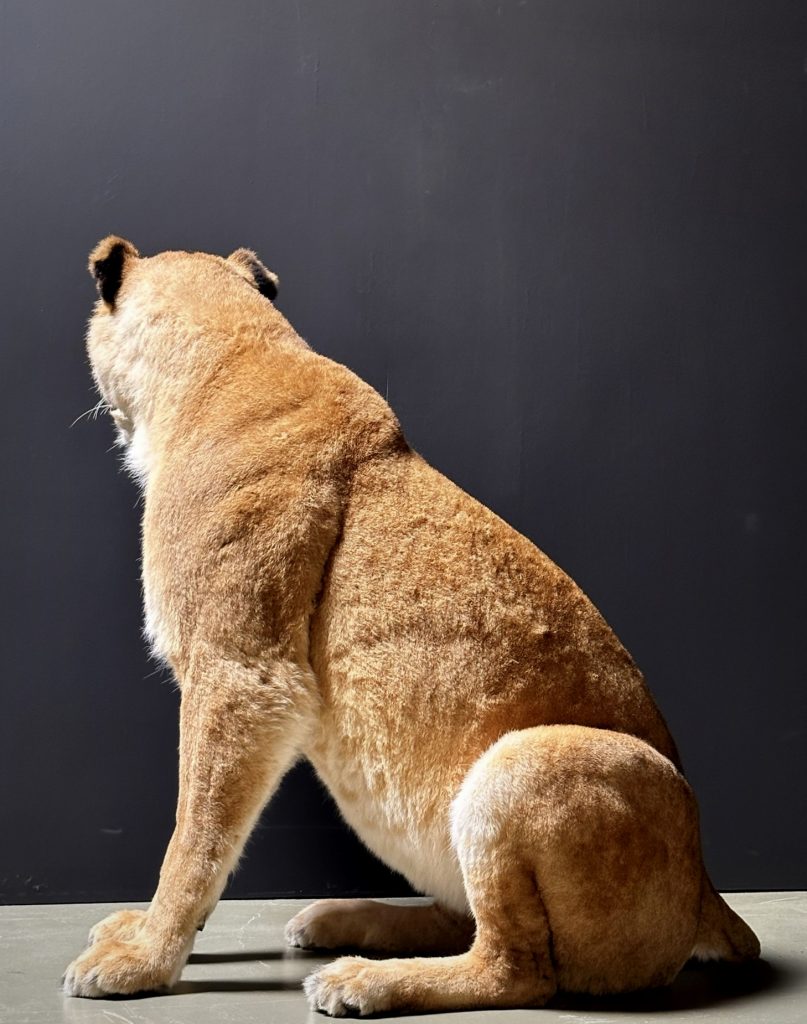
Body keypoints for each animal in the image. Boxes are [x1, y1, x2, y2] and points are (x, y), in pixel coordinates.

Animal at [63, 237, 759, 1015]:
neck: (232, 347)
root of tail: (708, 893)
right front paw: (144, 933)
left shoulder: (240, 673)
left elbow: (196, 833)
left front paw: (145, 958)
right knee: (466, 919)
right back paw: (346, 921)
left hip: (521, 766)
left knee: (517, 967)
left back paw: (367, 979)